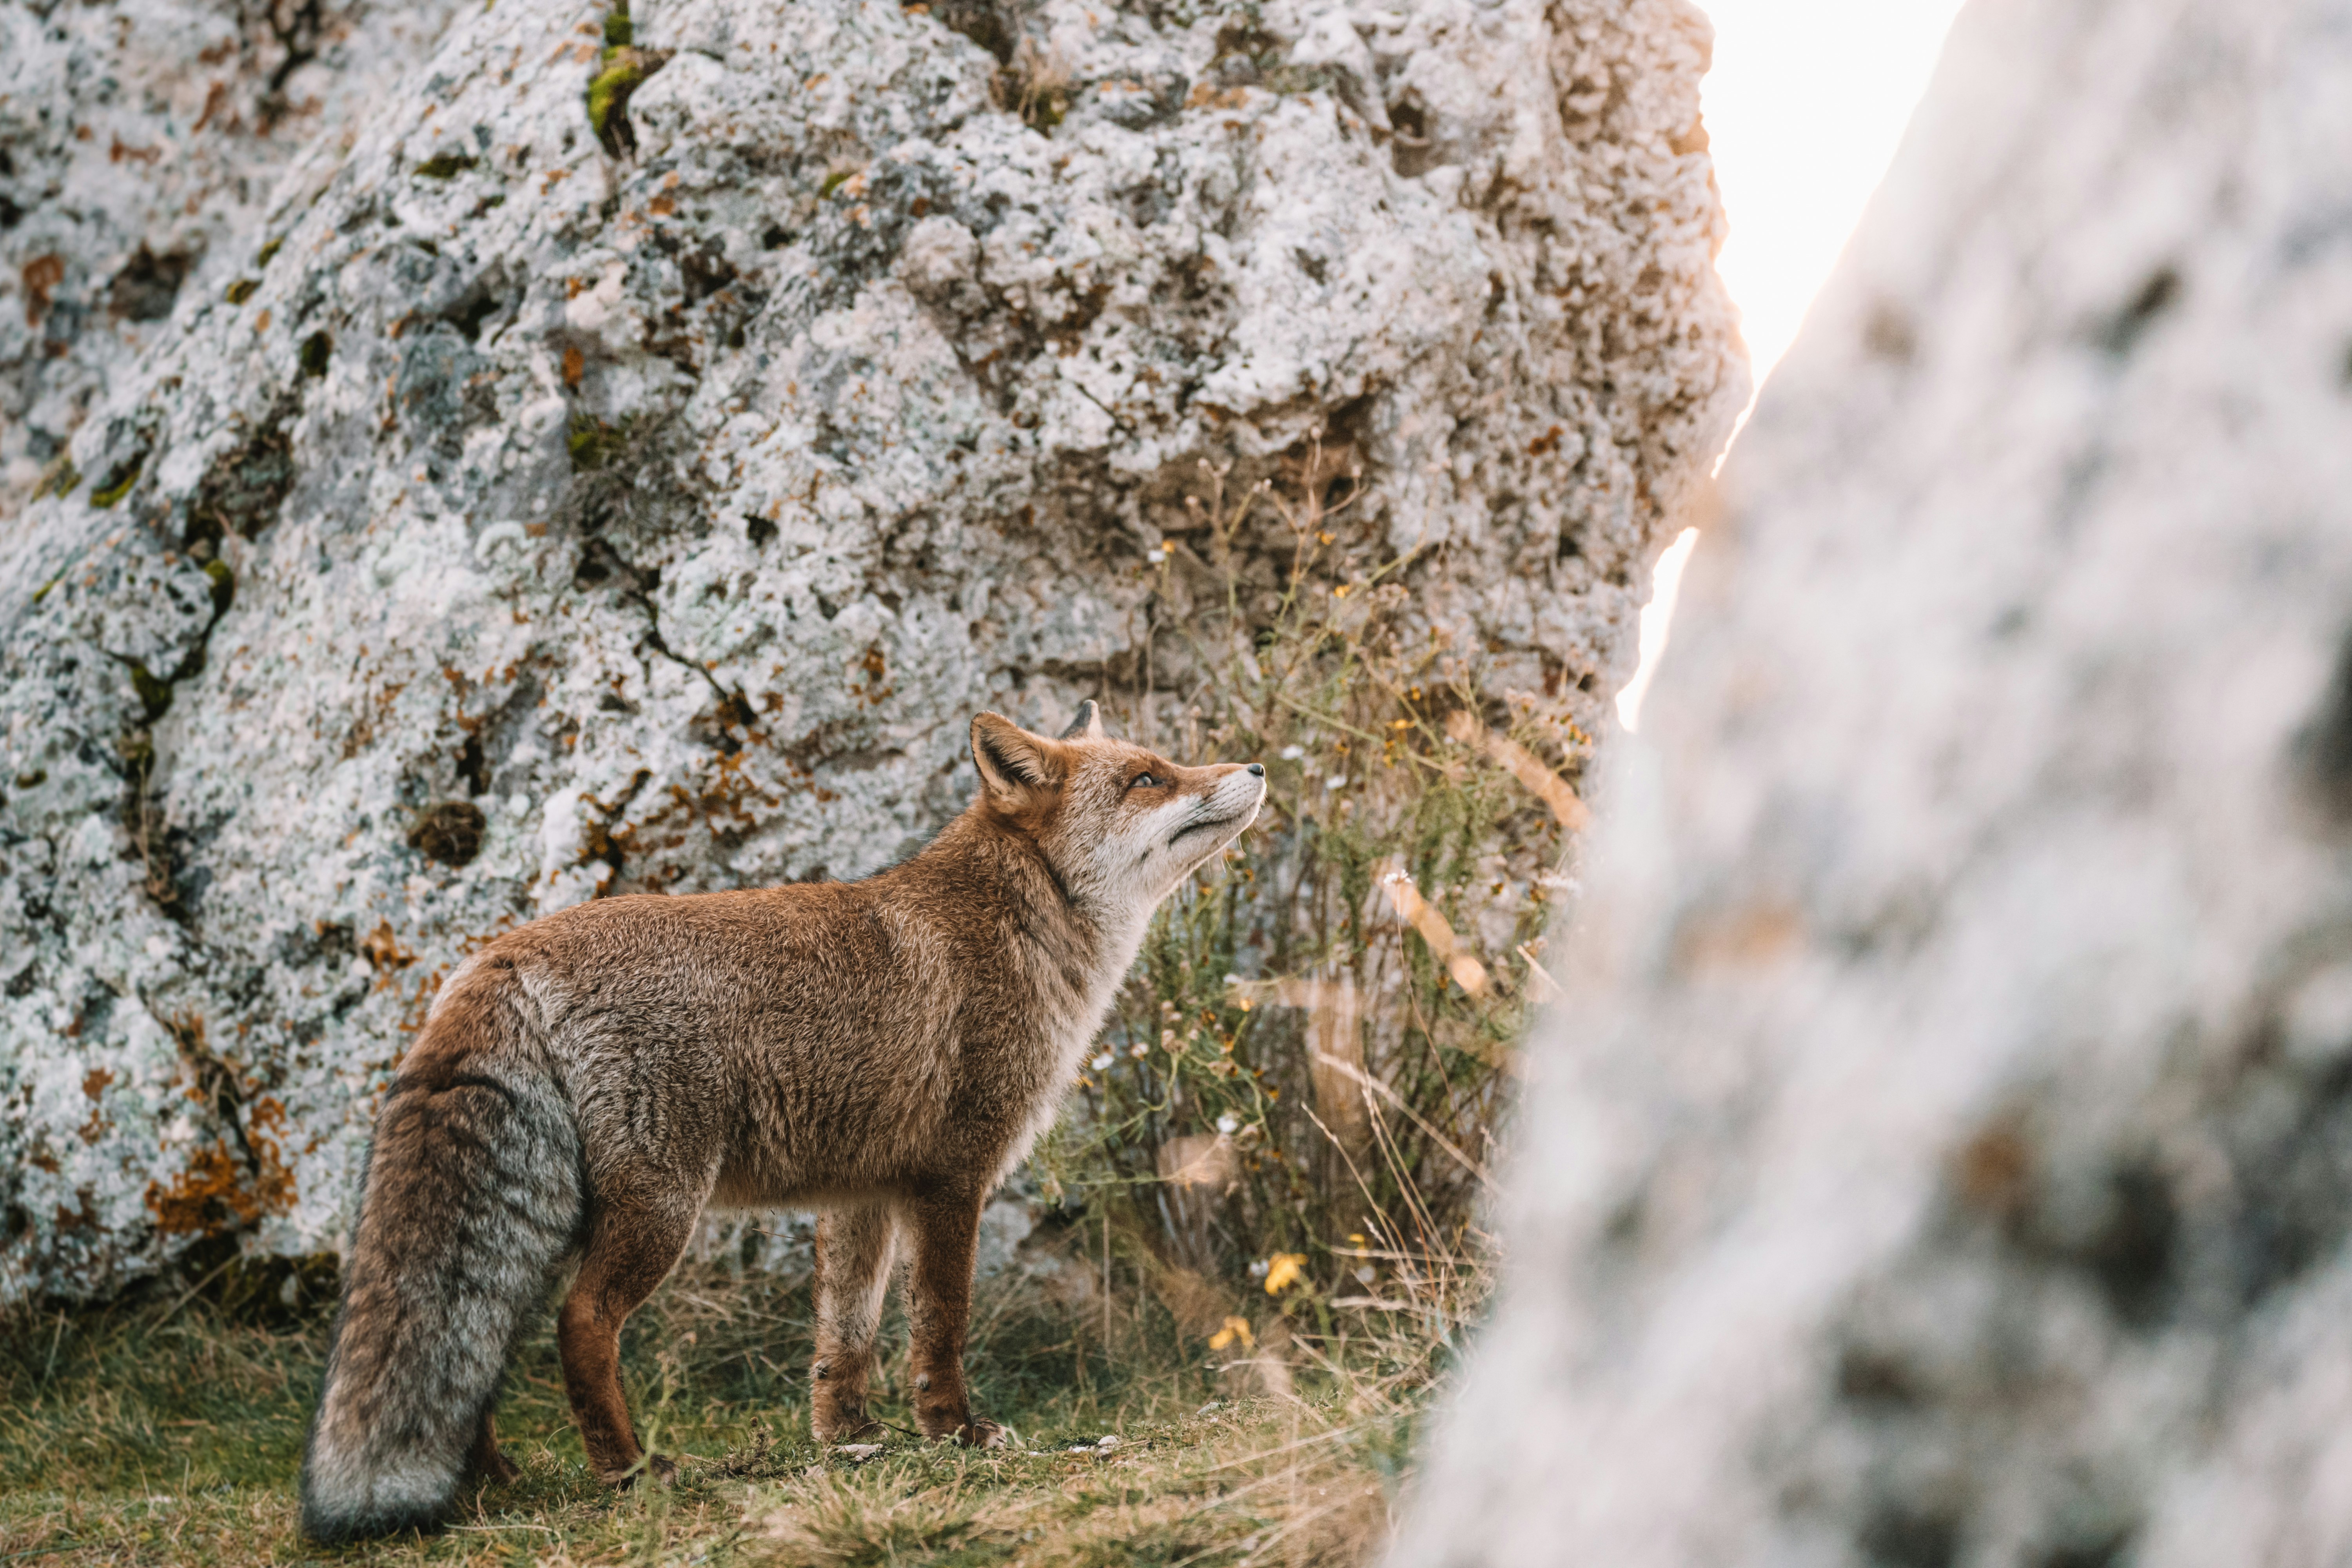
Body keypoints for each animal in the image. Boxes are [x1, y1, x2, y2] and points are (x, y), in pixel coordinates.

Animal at [297, 703, 1265, 1542]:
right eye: (1148, 777)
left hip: (550, 1223)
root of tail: (500, 952)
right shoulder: (954, 1176)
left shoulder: (863, 1193)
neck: (1013, 929)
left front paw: (850, 1439)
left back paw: (491, 1485)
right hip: (657, 1210)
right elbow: (941, 1325)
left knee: (475, 1350)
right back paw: (630, 1472)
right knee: (581, 1326)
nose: (1255, 767)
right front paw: (956, 1431)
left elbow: (847, 1337)